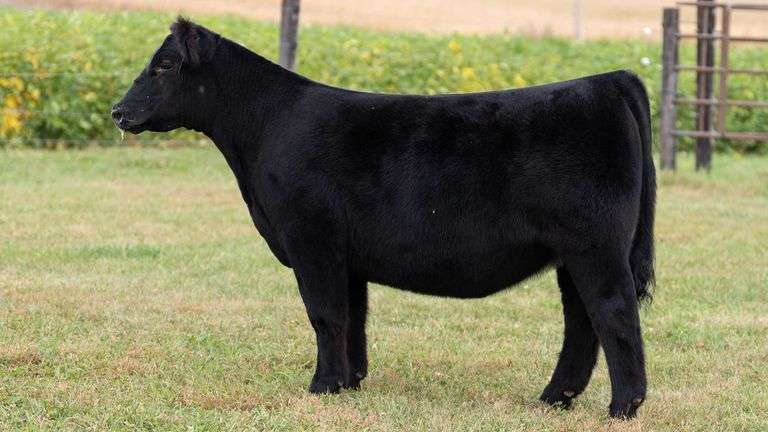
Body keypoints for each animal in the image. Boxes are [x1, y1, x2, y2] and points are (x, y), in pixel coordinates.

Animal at [112, 18, 656, 418]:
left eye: (164, 65)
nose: (118, 111)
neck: (266, 129)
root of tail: (608, 80)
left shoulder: (311, 239)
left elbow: (324, 313)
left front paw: (321, 386)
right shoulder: (345, 256)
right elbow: (352, 317)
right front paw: (349, 383)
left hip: (595, 247)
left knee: (613, 313)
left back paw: (622, 407)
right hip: (570, 254)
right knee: (582, 322)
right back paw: (554, 400)